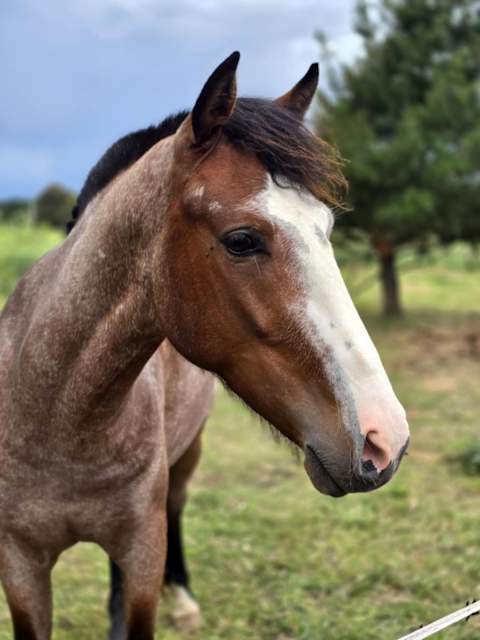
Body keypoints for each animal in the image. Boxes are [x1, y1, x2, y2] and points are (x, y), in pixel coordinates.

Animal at [0, 51, 410, 640]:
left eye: (327, 228)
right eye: (241, 240)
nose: (385, 440)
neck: (59, 421)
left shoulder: (143, 553)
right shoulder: (21, 567)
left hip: (184, 464)